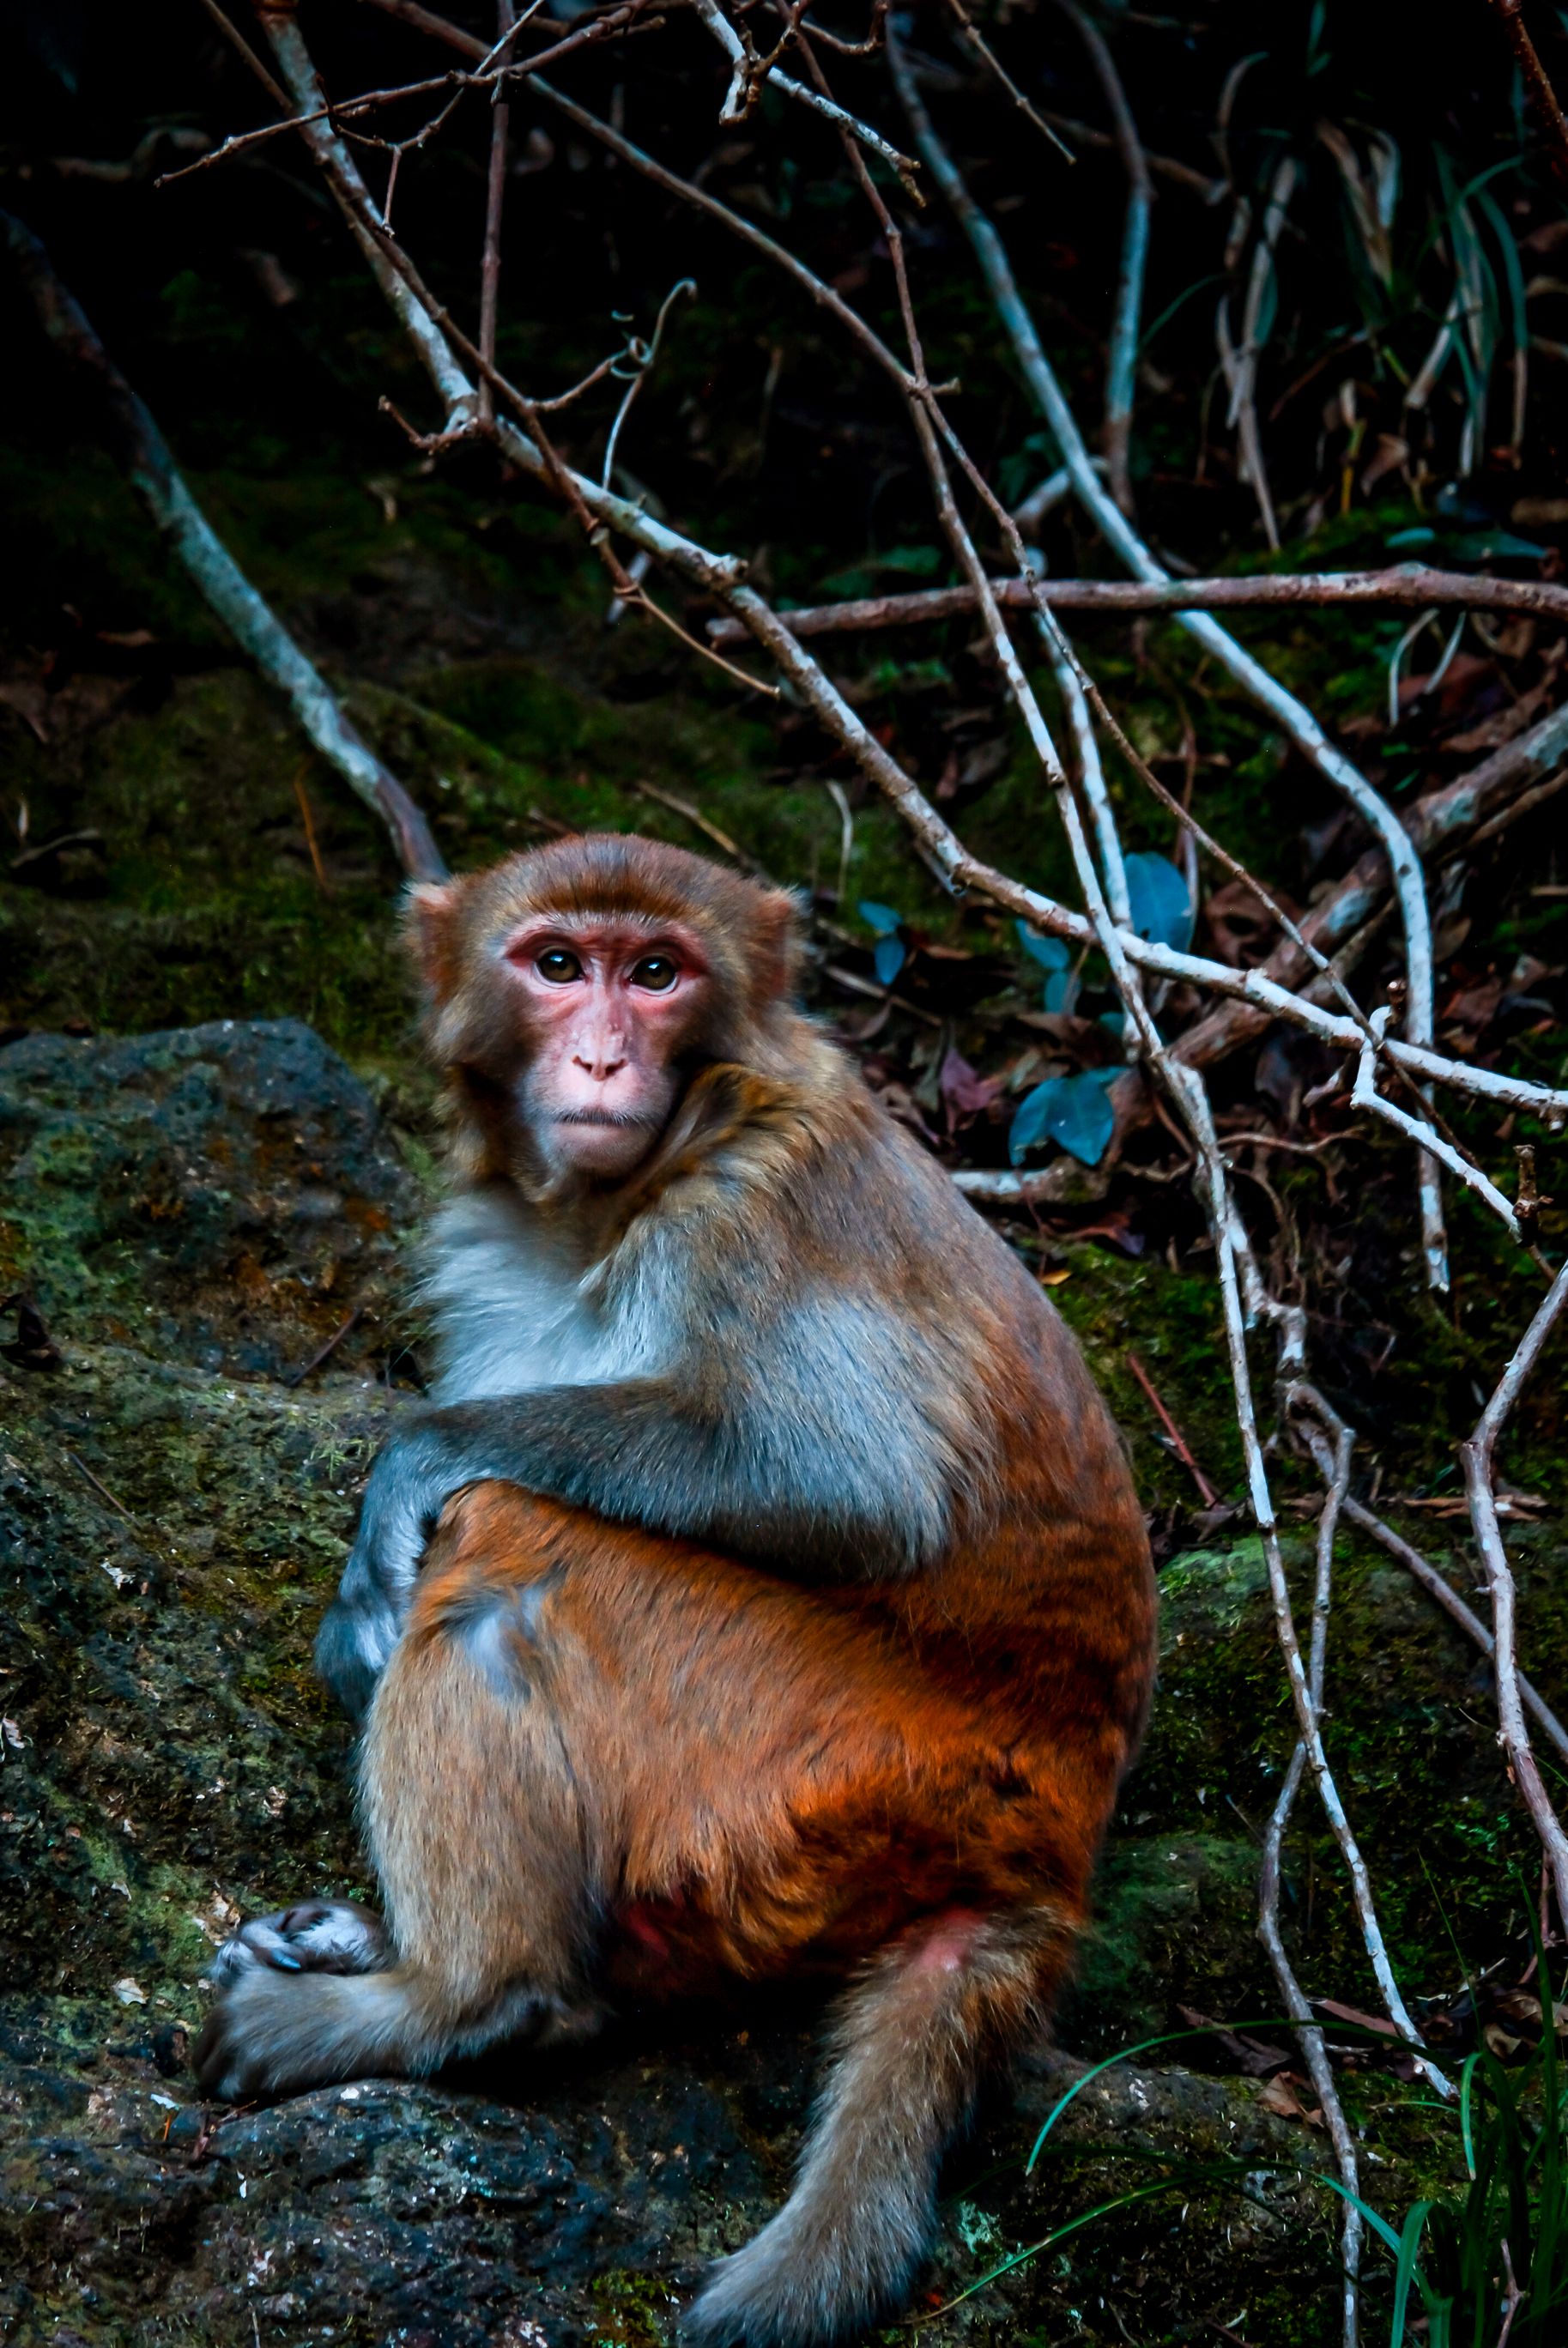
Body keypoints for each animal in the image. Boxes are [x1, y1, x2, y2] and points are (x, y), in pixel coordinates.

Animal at [195, 833, 1157, 2348]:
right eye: (555, 964)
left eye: (655, 974)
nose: (598, 1058)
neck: (626, 1192)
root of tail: (1046, 1852)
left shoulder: (753, 1215)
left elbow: (850, 1481)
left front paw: (404, 1476)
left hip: (822, 1758)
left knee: (514, 1555)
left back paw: (458, 2001)